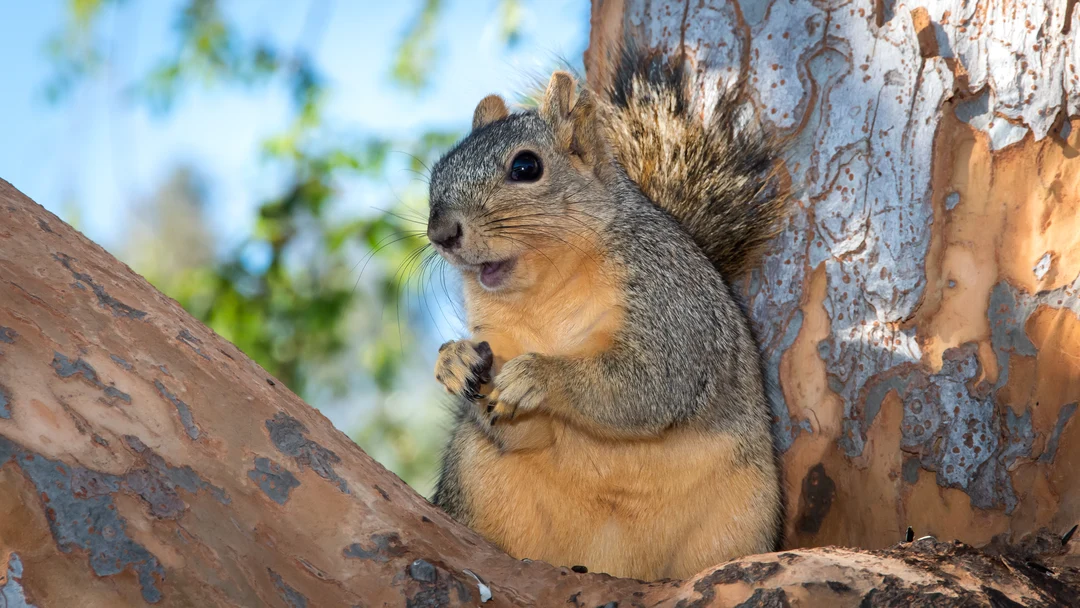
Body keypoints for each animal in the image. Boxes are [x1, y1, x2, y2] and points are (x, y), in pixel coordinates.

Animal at [425, 46, 787, 581]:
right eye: (439, 170)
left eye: (526, 166)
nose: (441, 233)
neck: (546, 291)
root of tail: (609, 566)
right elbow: (523, 432)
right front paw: (455, 361)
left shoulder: (672, 307)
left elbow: (653, 382)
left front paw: (540, 375)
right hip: (477, 483)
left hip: (743, 512)